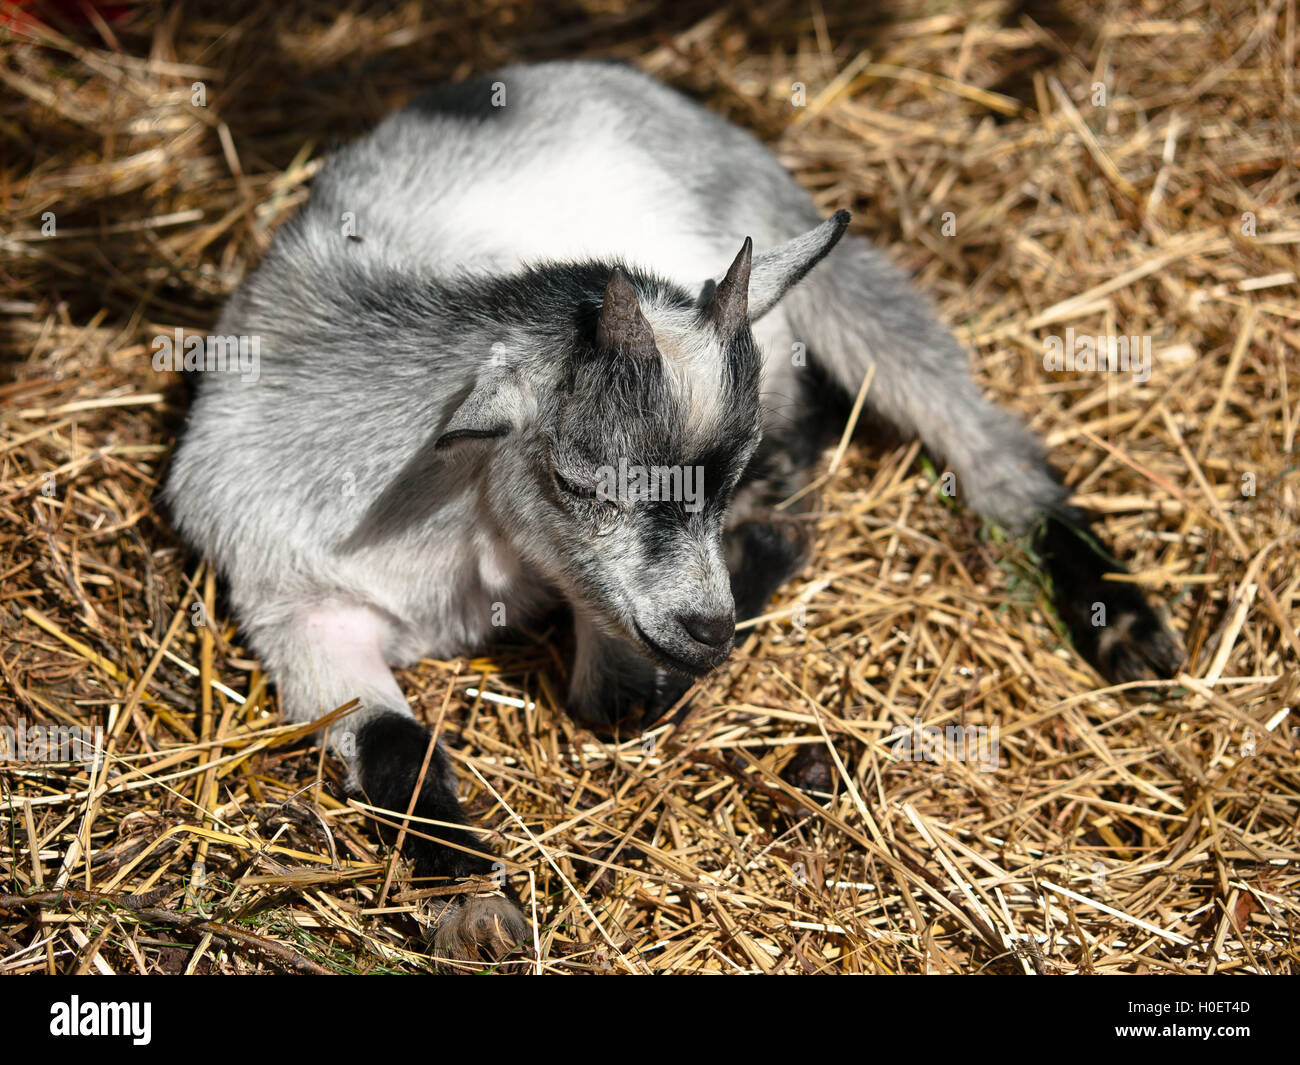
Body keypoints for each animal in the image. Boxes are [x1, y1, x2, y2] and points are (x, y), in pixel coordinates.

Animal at [167, 59, 1183, 961]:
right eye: (579, 480)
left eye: (714, 484)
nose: (709, 629)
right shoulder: (291, 605)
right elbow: (395, 750)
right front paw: (473, 905)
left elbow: (615, 700)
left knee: (968, 441)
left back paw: (1127, 624)